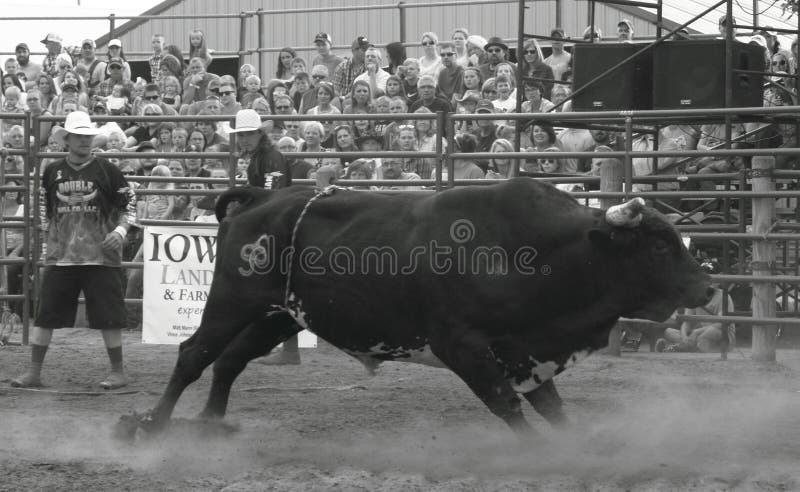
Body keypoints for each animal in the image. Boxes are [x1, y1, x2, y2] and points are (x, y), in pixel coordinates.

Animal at [134, 178, 713, 437]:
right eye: (658, 246)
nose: (706, 290)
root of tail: (260, 199)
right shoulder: (464, 348)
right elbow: (509, 408)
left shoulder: (526, 354)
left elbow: (555, 412)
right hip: (233, 300)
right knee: (193, 354)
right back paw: (150, 424)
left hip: (278, 315)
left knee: (229, 361)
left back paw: (211, 423)